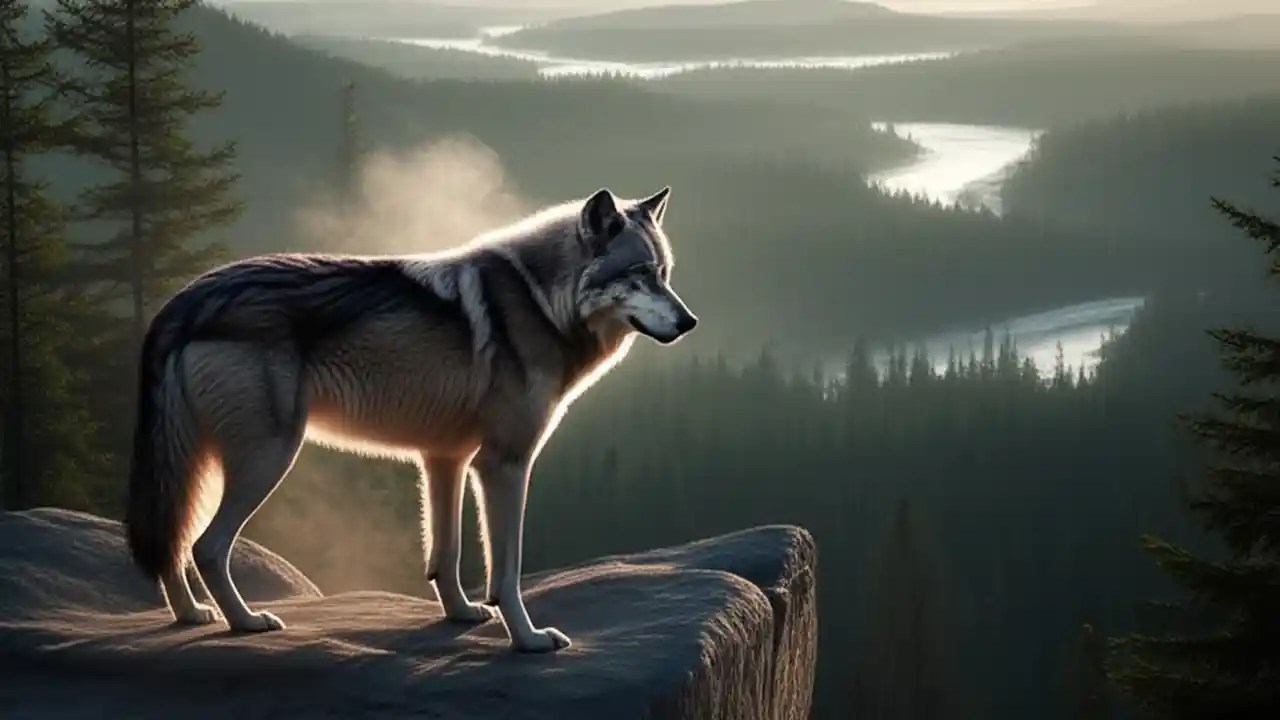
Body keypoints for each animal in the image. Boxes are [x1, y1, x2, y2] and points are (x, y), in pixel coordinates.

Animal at [124, 187, 695, 652]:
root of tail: (182, 301)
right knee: (206, 545)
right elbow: (506, 571)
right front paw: (528, 639)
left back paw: (190, 615)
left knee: (174, 538)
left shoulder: (446, 460)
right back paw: (245, 622)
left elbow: (446, 555)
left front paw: (462, 615)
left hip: (203, 465)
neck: (541, 303)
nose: (689, 322)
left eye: (665, 275)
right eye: (639, 275)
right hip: (267, 459)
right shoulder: (504, 464)